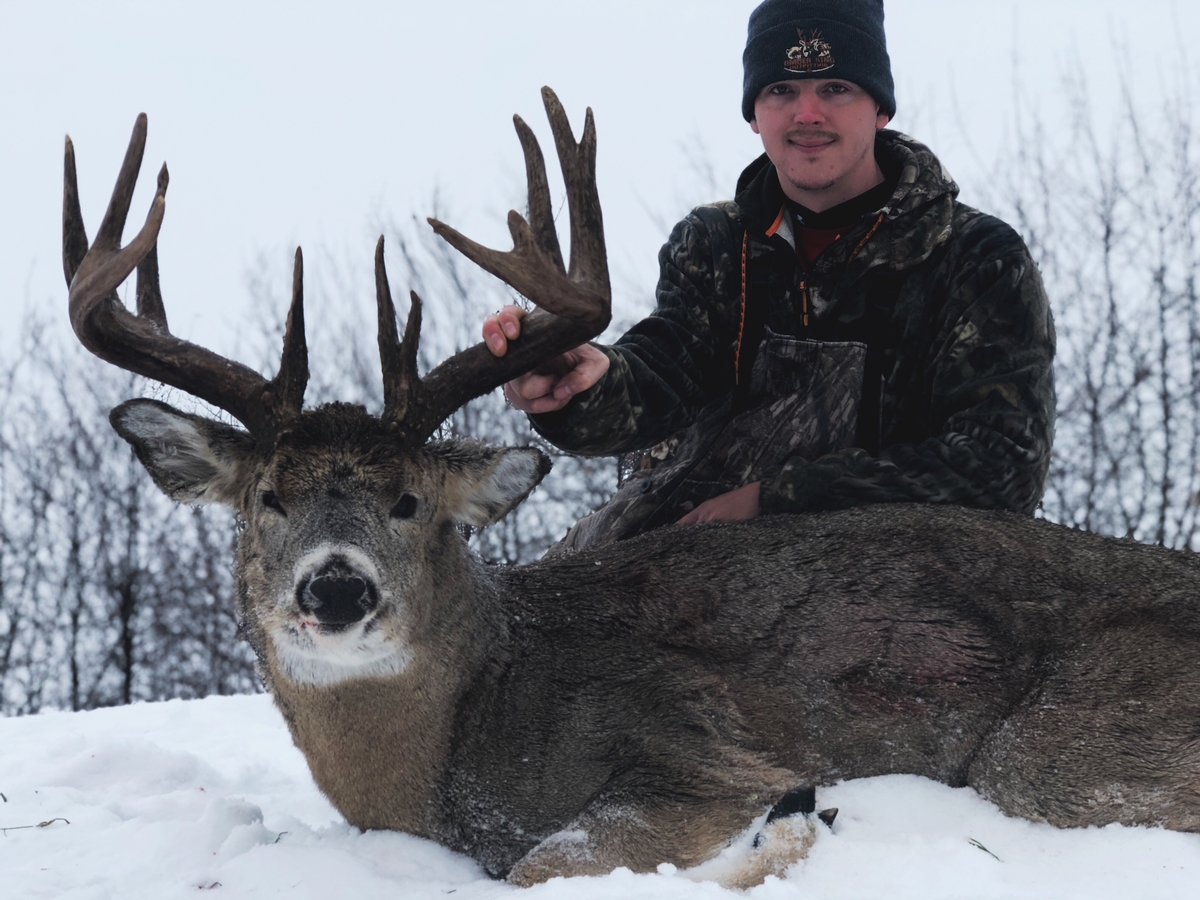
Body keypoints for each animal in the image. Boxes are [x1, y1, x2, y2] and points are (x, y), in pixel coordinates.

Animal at [63, 92, 1200, 890]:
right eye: (269, 498)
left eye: (410, 503)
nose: (335, 589)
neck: (456, 742)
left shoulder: (686, 745)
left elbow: (543, 863)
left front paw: (792, 827)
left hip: (1054, 748)